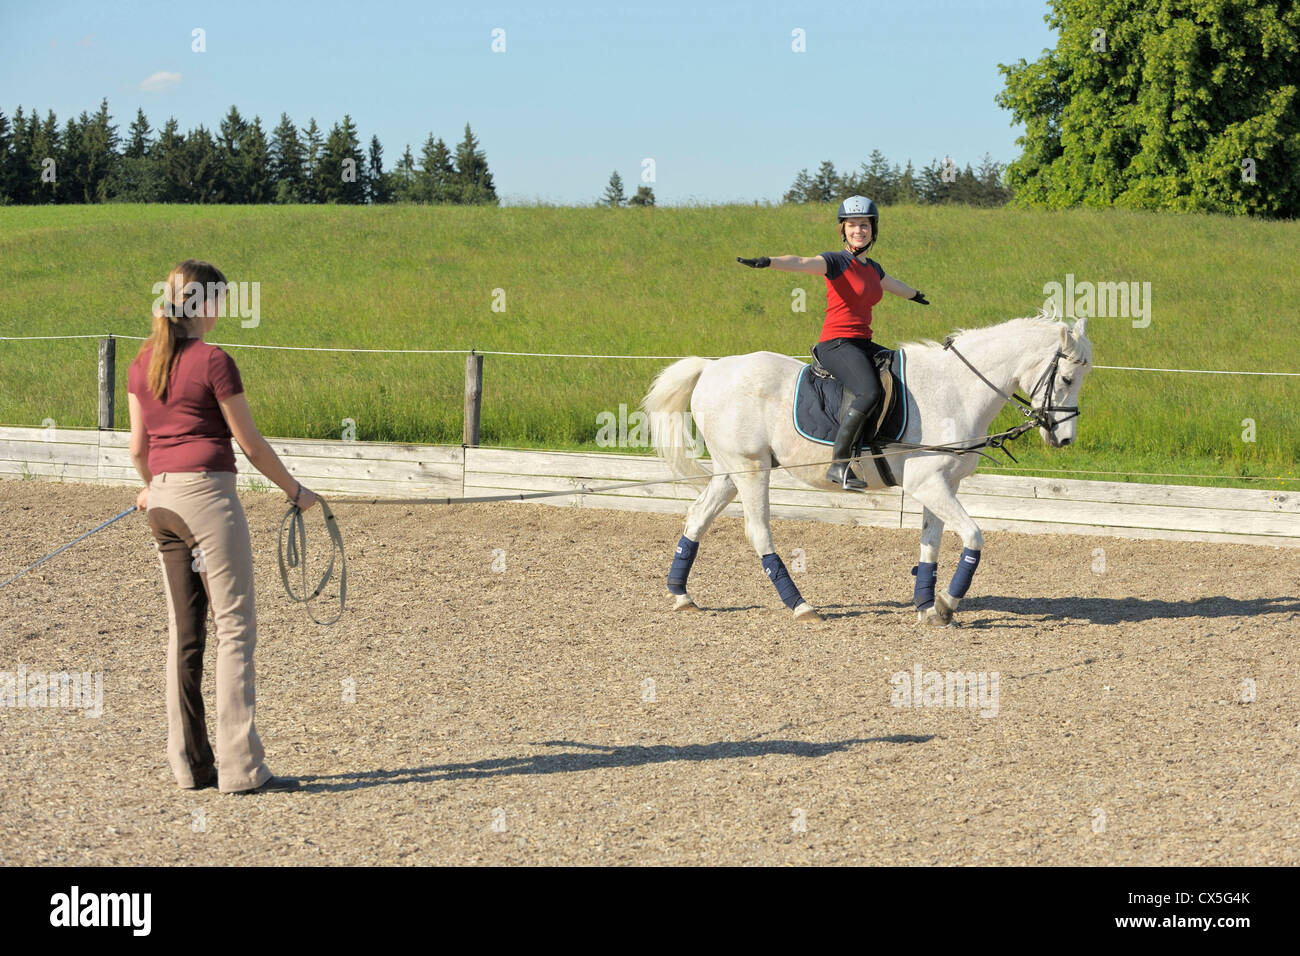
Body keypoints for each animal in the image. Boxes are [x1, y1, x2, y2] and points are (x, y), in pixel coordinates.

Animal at [642, 310, 1093, 626]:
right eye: (1068, 379)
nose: (1064, 439)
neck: (956, 390)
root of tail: (712, 367)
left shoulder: (941, 485)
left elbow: (930, 544)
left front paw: (927, 607)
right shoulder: (928, 483)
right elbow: (973, 538)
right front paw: (947, 604)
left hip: (729, 471)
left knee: (697, 517)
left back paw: (681, 595)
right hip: (751, 470)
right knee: (758, 532)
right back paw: (801, 606)